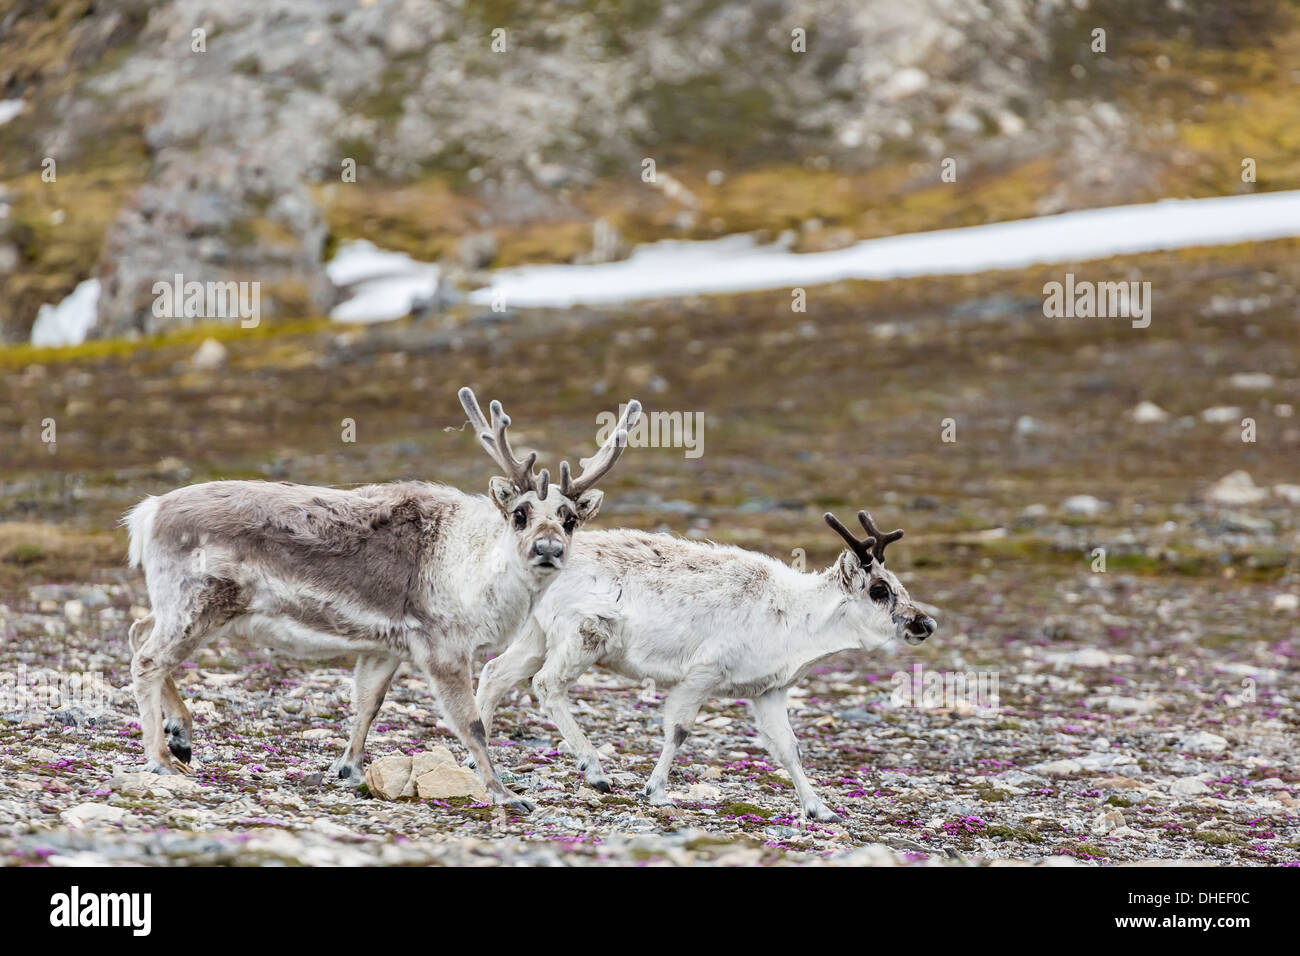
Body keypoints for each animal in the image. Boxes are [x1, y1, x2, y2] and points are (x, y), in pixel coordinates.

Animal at [122, 386, 640, 812]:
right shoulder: (443, 649)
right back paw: (160, 757)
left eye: (570, 519)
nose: (549, 549)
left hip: (183, 605)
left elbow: (367, 704)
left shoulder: (384, 648)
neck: (476, 566)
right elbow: (471, 723)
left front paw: (349, 769)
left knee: (139, 632)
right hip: (198, 604)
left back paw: (181, 736)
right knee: (148, 659)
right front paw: (504, 793)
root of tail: (149, 512)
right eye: (519, 514)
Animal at [473, 509, 936, 821]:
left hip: (536, 635)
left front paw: (820, 809)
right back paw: (596, 771)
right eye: (879, 590)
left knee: (493, 673)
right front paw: (656, 791)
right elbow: (679, 729)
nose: (926, 623)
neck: (796, 619)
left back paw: (478, 761)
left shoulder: (769, 691)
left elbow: (788, 748)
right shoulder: (702, 675)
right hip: (583, 635)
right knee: (547, 685)